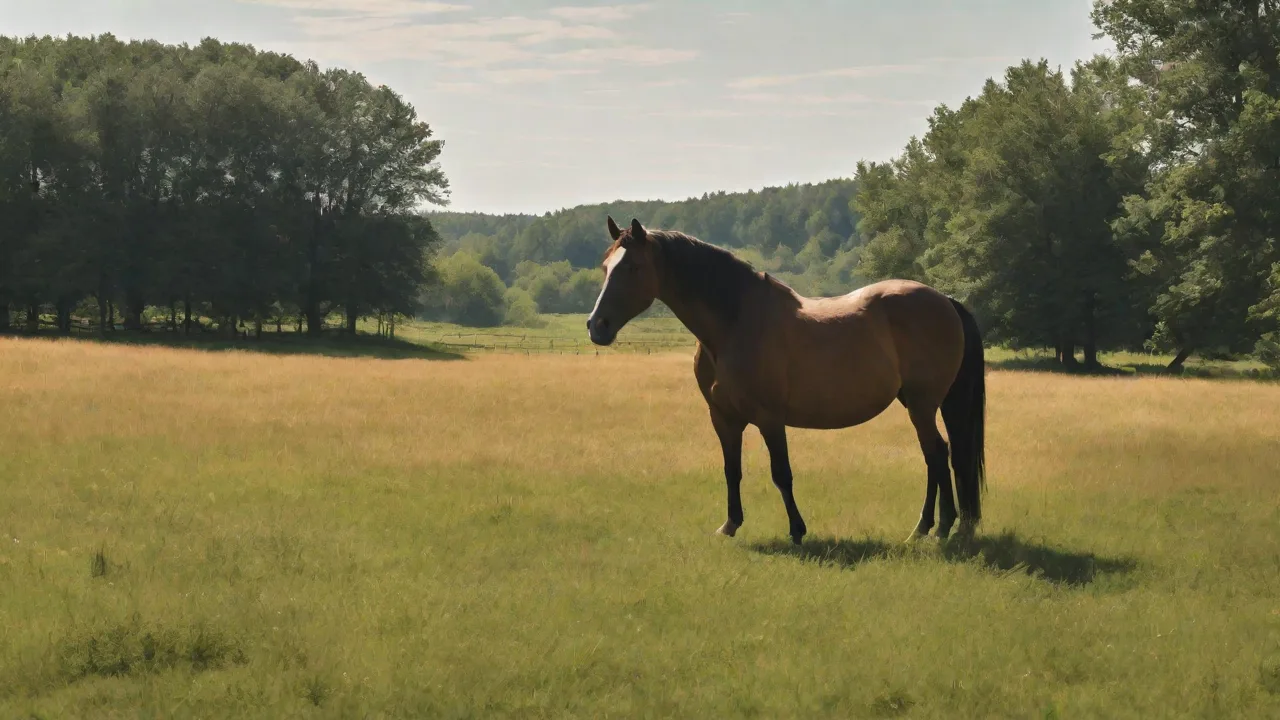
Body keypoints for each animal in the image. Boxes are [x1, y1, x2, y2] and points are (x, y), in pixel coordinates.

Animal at [586, 217, 986, 546]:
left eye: (634, 267)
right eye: (606, 267)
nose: (596, 326)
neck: (734, 324)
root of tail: (945, 300)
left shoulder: (769, 418)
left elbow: (782, 474)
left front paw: (797, 530)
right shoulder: (723, 419)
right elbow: (732, 470)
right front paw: (730, 525)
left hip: (922, 403)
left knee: (937, 453)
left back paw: (938, 528)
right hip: (918, 403)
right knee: (936, 456)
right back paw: (927, 529)